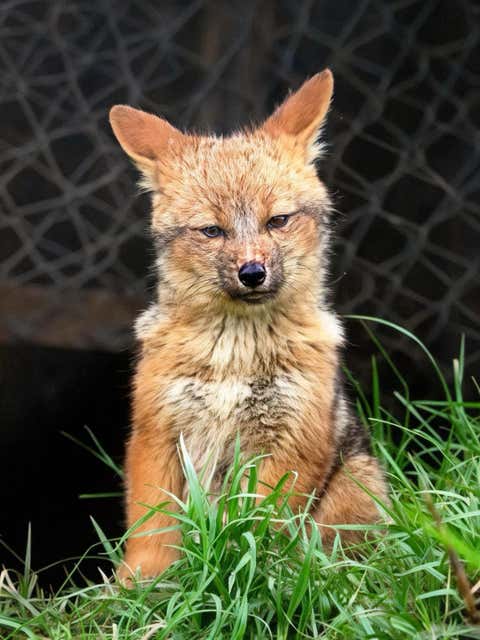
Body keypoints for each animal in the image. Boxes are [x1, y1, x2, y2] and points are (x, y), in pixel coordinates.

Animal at [109, 68, 388, 580]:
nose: (252, 272)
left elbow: (255, 531)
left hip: (353, 482)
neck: (234, 357)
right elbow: (151, 532)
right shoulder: (156, 432)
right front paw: (138, 586)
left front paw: (249, 577)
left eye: (277, 220)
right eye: (212, 231)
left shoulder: (292, 441)